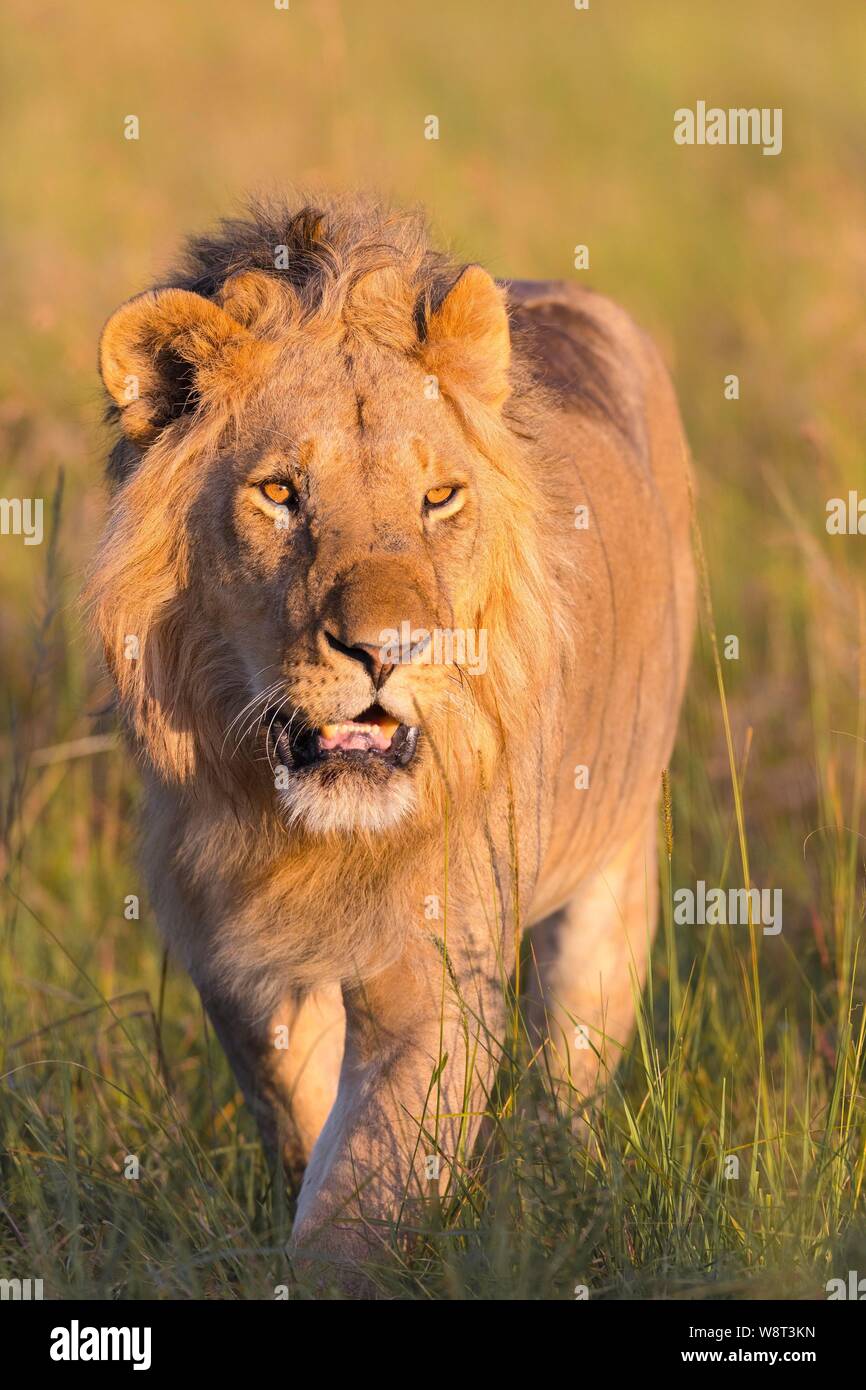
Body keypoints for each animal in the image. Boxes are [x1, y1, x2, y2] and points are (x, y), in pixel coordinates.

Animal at [88, 195, 695, 1283]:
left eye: (438, 497)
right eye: (281, 493)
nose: (388, 648)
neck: (312, 835)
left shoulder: (439, 980)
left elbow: (359, 1195)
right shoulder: (235, 962)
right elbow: (299, 1109)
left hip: (617, 868)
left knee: (569, 1073)